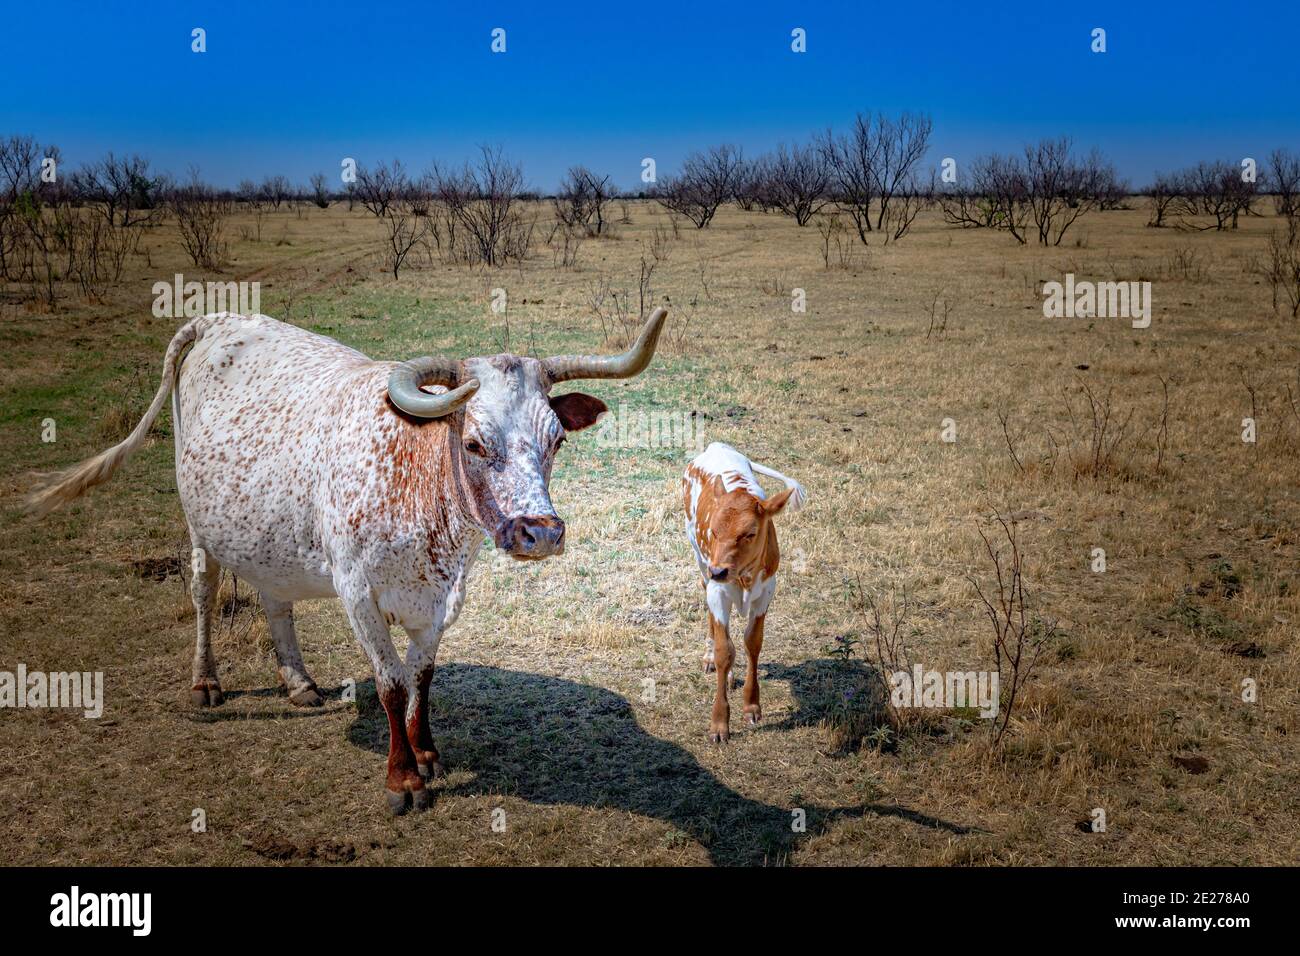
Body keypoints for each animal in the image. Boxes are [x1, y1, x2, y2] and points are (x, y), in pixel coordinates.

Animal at [28, 307, 667, 813]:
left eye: (557, 440)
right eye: (474, 444)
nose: (541, 533)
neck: (417, 479)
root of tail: (220, 318)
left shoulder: (444, 597)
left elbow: (422, 675)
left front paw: (426, 749)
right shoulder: (359, 594)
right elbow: (390, 684)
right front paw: (403, 778)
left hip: (267, 531)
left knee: (274, 598)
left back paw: (298, 681)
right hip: (199, 524)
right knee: (204, 590)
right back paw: (206, 682)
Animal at [683, 442, 806, 743]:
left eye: (750, 533)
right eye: (714, 531)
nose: (719, 570)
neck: (743, 577)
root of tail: (717, 445)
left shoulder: (767, 590)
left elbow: (753, 642)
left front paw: (752, 706)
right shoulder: (718, 590)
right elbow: (724, 649)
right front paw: (719, 723)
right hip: (700, 561)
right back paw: (711, 660)